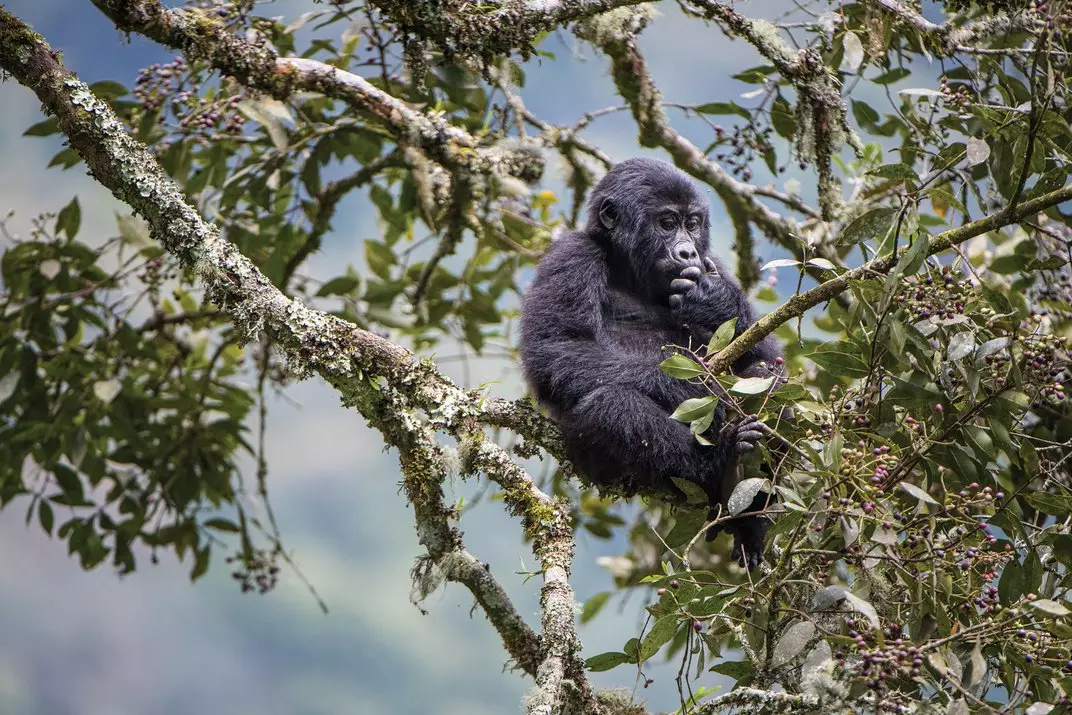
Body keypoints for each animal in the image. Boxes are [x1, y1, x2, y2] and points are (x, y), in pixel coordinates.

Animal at [516, 157, 780, 570]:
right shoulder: (571, 256)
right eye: (667, 223)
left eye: (692, 223)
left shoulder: (713, 264)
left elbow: (762, 353)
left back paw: (751, 516)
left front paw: (715, 301)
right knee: (611, 407)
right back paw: (724, 462)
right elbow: (559, 346)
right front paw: (690, 388)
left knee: (764, 378)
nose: (687, 252)